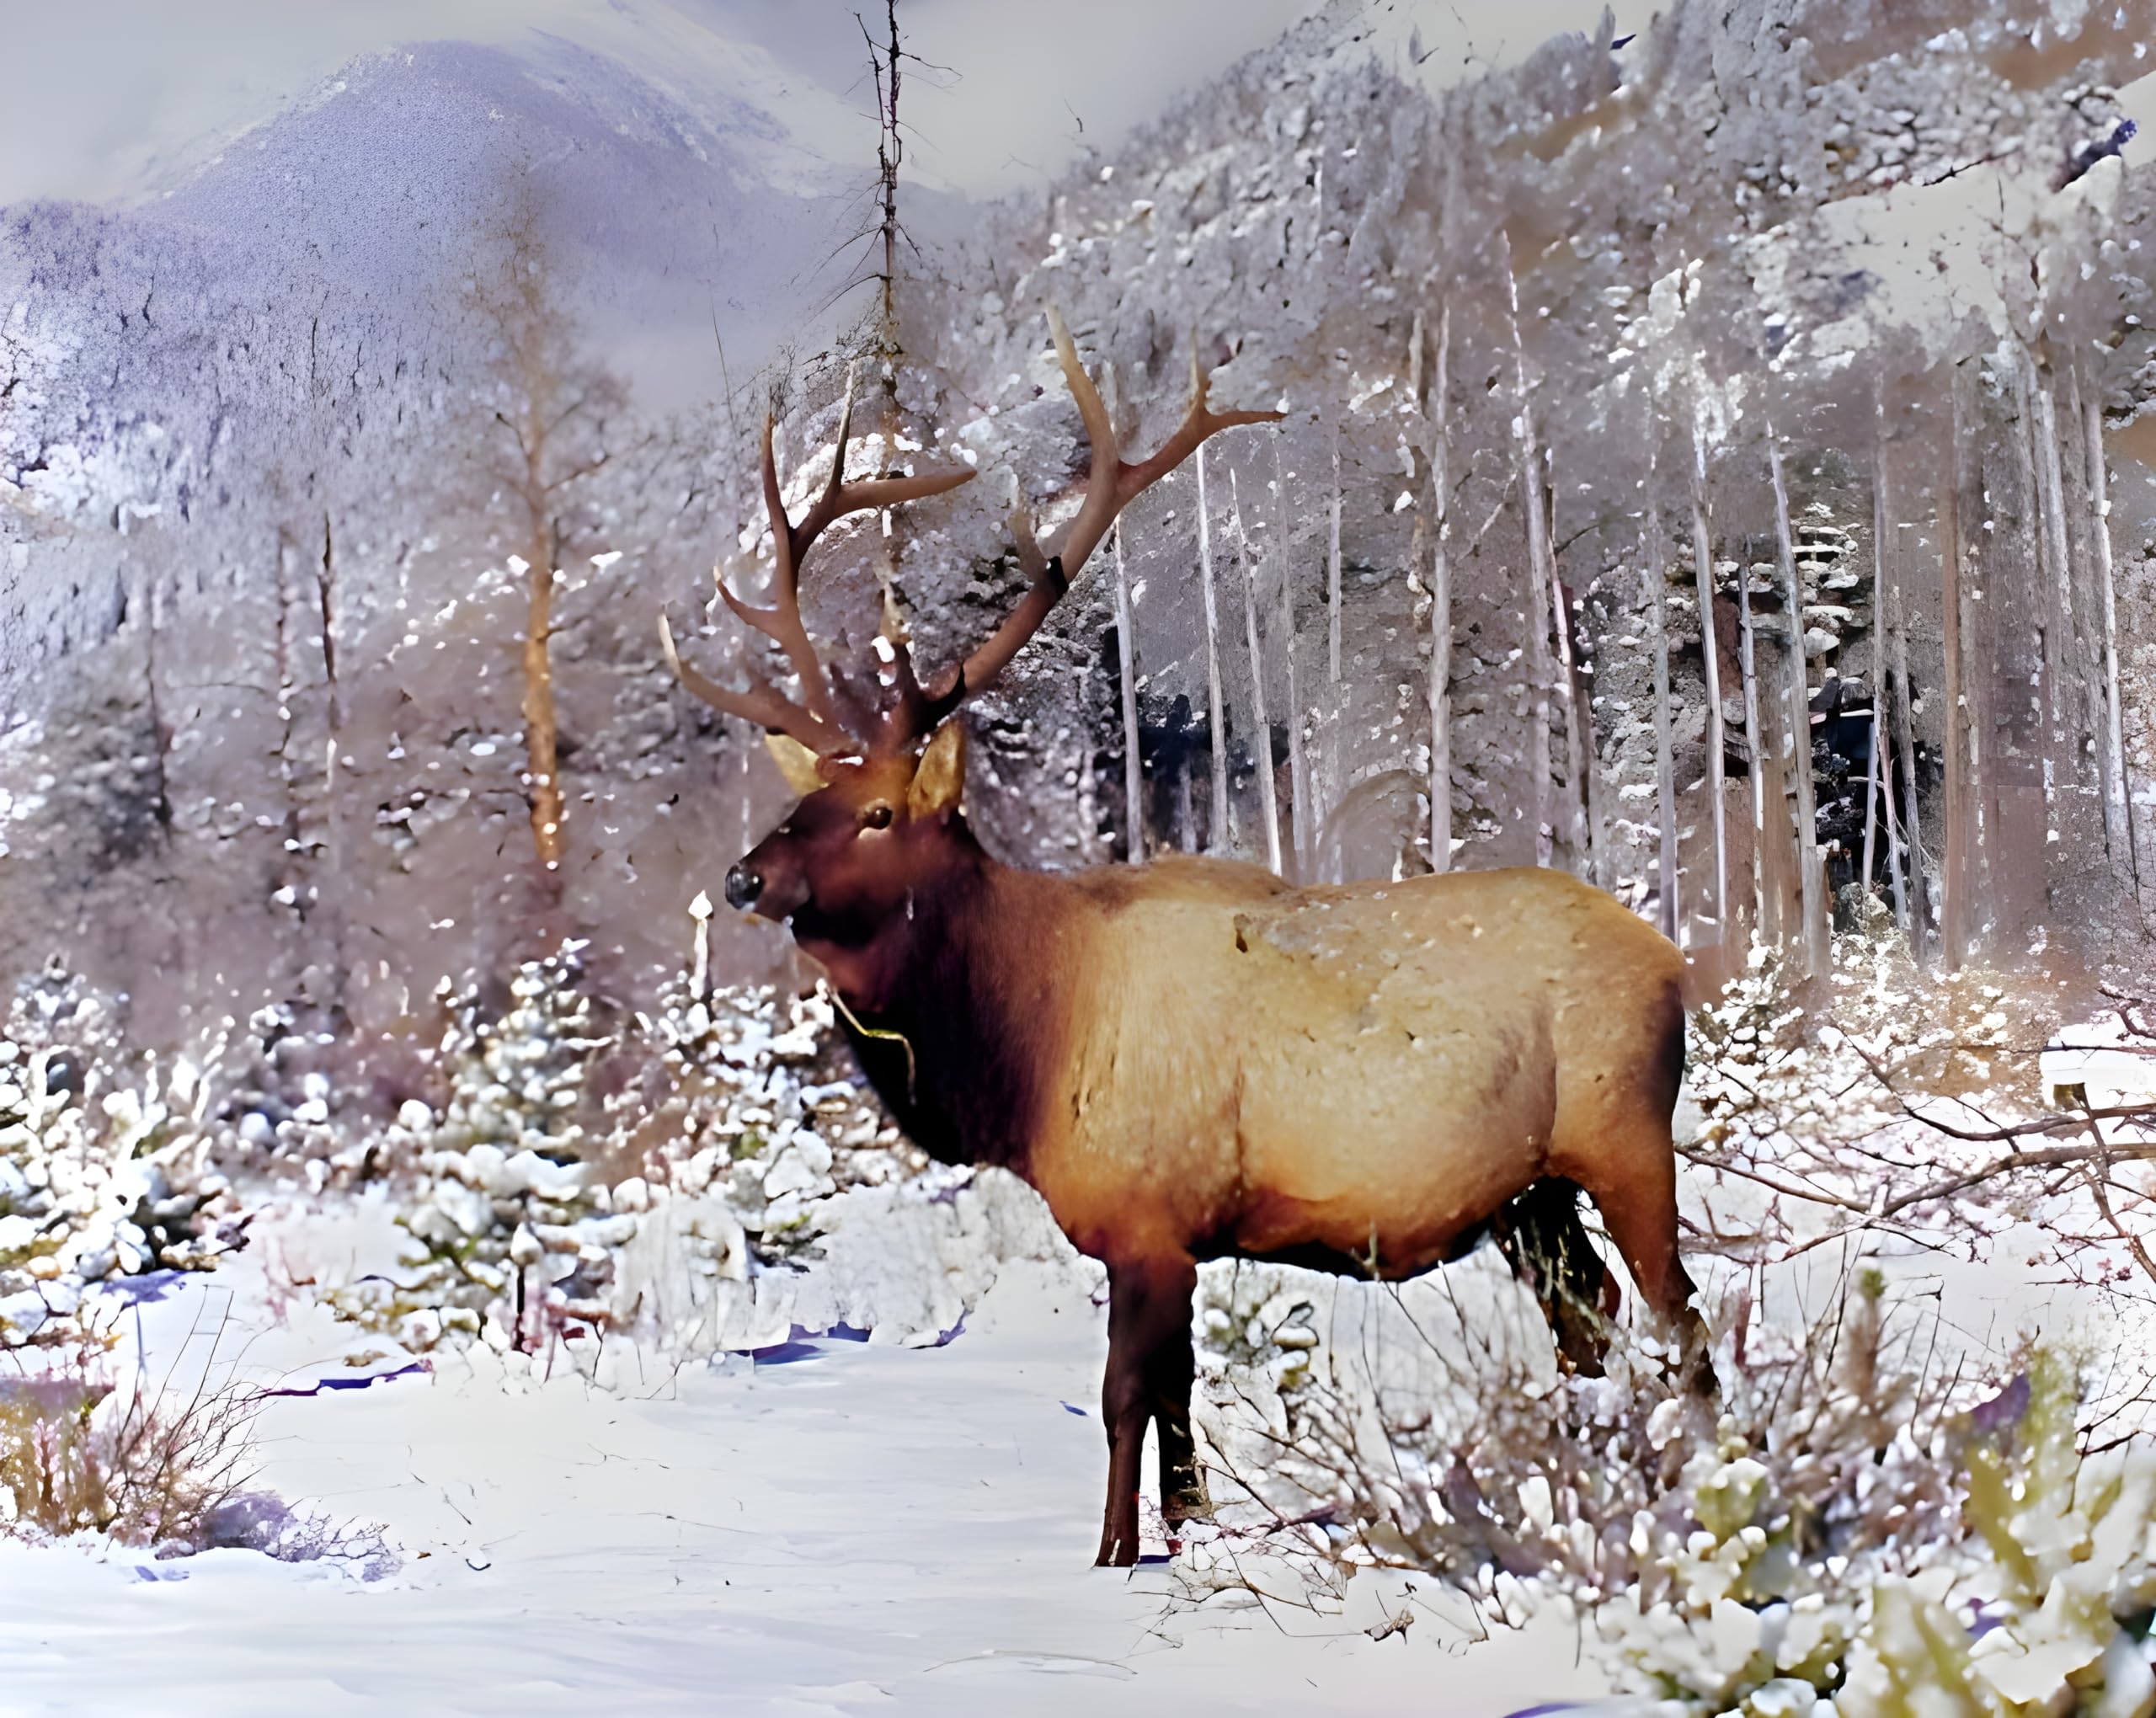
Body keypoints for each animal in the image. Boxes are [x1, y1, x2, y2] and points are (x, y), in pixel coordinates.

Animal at [662, 310, 1711, 1567]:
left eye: (875, 812)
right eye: (806, 796)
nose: (742, 876)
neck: (1020, 1046)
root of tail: (1674, 965)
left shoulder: (1147, 1221)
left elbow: (1129, 1397)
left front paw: (1113, 1554)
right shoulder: (1178, 1238)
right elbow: (1177, 1398)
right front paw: (1182, 1530)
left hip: (1623, 1134)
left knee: (1680, 1313)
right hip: (1528, 1194)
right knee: (1588, 1314)